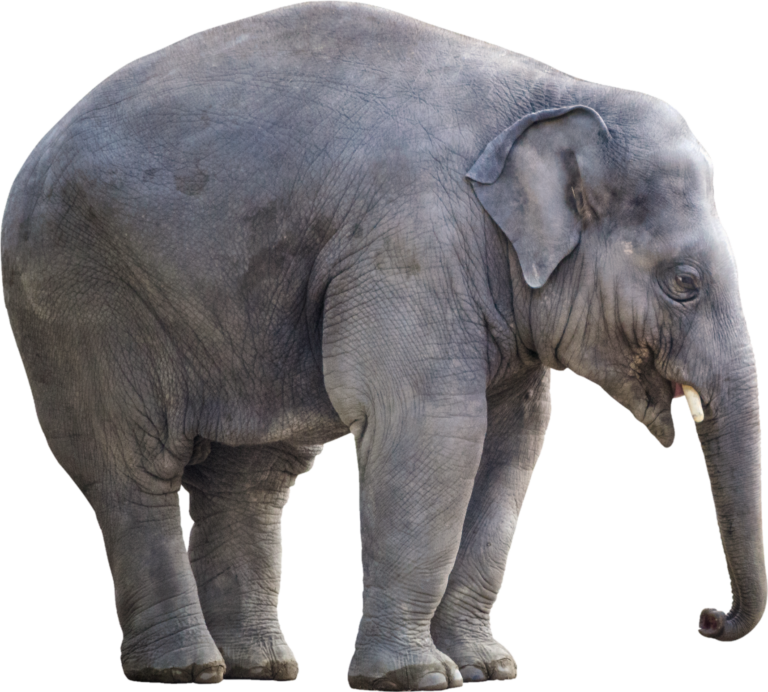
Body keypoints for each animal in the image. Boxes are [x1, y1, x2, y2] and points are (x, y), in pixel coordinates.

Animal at [1, 1, 765, 688]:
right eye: (684, 283)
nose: (707, 618)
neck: (557, 96)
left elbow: (512, 445)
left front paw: (486, 670)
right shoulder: (409, 242)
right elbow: (433, 426)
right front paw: (418, 679)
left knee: (253, 476)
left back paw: (259, 669)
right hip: (79, 295)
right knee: (132, 468)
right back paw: (184, 670)